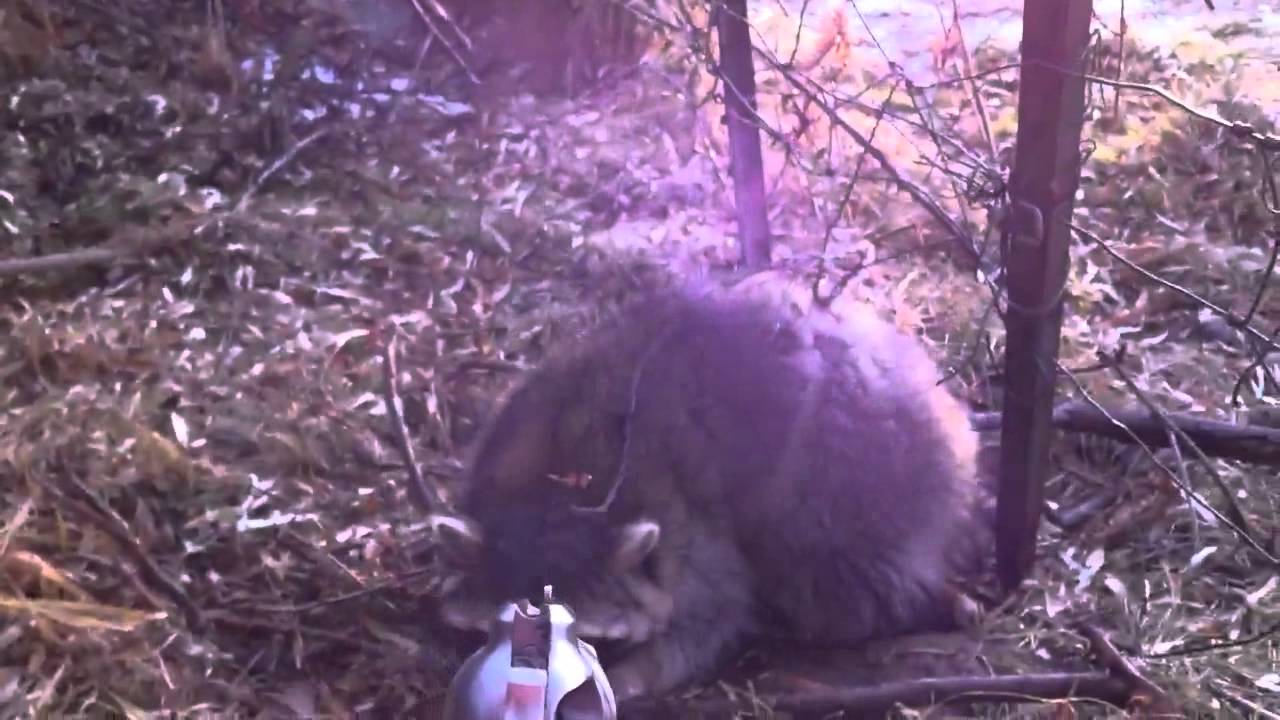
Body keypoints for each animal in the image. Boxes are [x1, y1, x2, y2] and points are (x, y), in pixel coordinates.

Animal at [428, 271, 988, 702]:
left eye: (586, 644)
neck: (556, 493)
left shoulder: (688, 521)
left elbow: (712, 618)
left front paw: (636, 672)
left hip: (855, 467)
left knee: (831, 575)